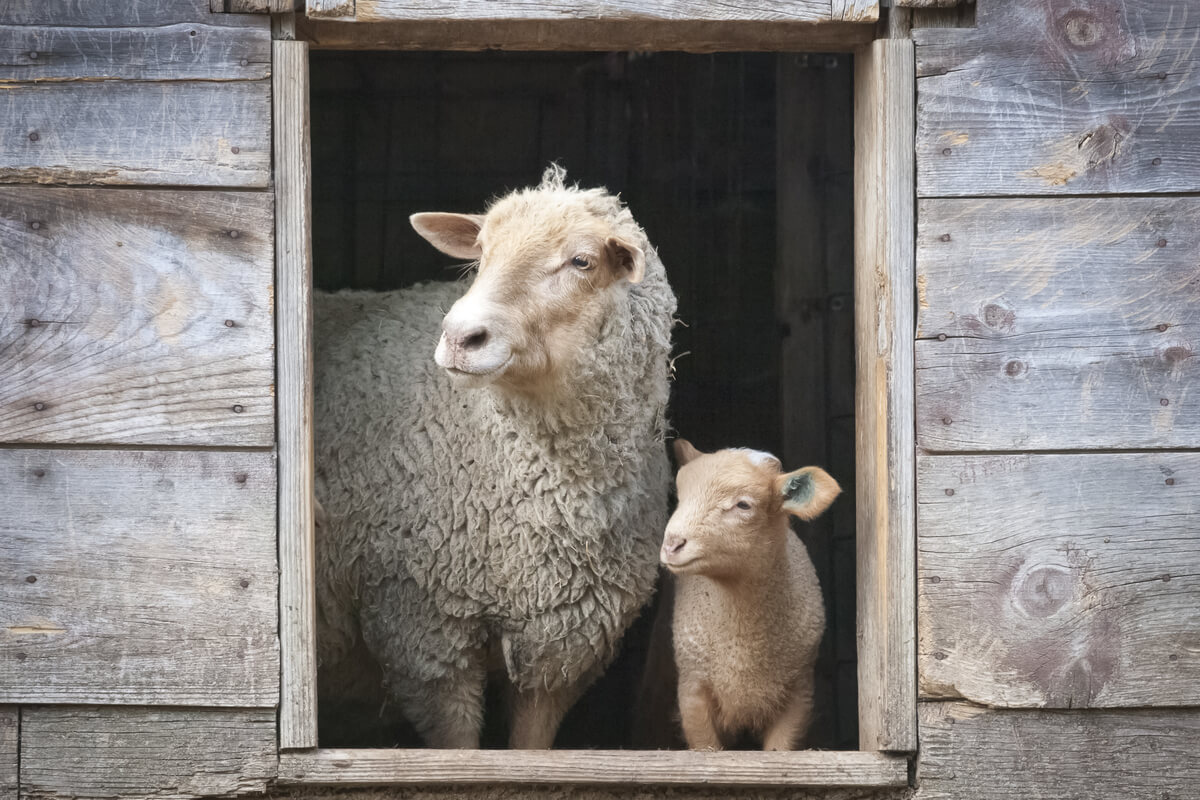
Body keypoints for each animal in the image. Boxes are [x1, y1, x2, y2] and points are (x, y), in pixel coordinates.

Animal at [660, 440, 839, 751]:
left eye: (743, 504)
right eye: (680, 497)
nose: (672, 544)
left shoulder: (799, 692)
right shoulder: (693, 689)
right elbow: (705, 748)